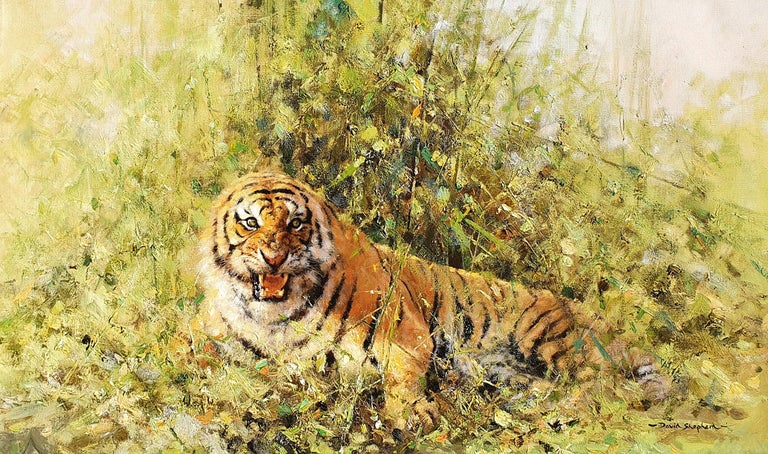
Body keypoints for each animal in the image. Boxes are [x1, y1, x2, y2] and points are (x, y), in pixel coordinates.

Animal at [197, 171, 669, 433]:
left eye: (296, 224)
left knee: (604, 387)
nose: (274, 257)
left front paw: (412, 414)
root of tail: (587, 312)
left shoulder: (406, 331)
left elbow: (402, 376)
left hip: (549, 339)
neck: (275, 315)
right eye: (250, 223)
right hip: (508, 370)